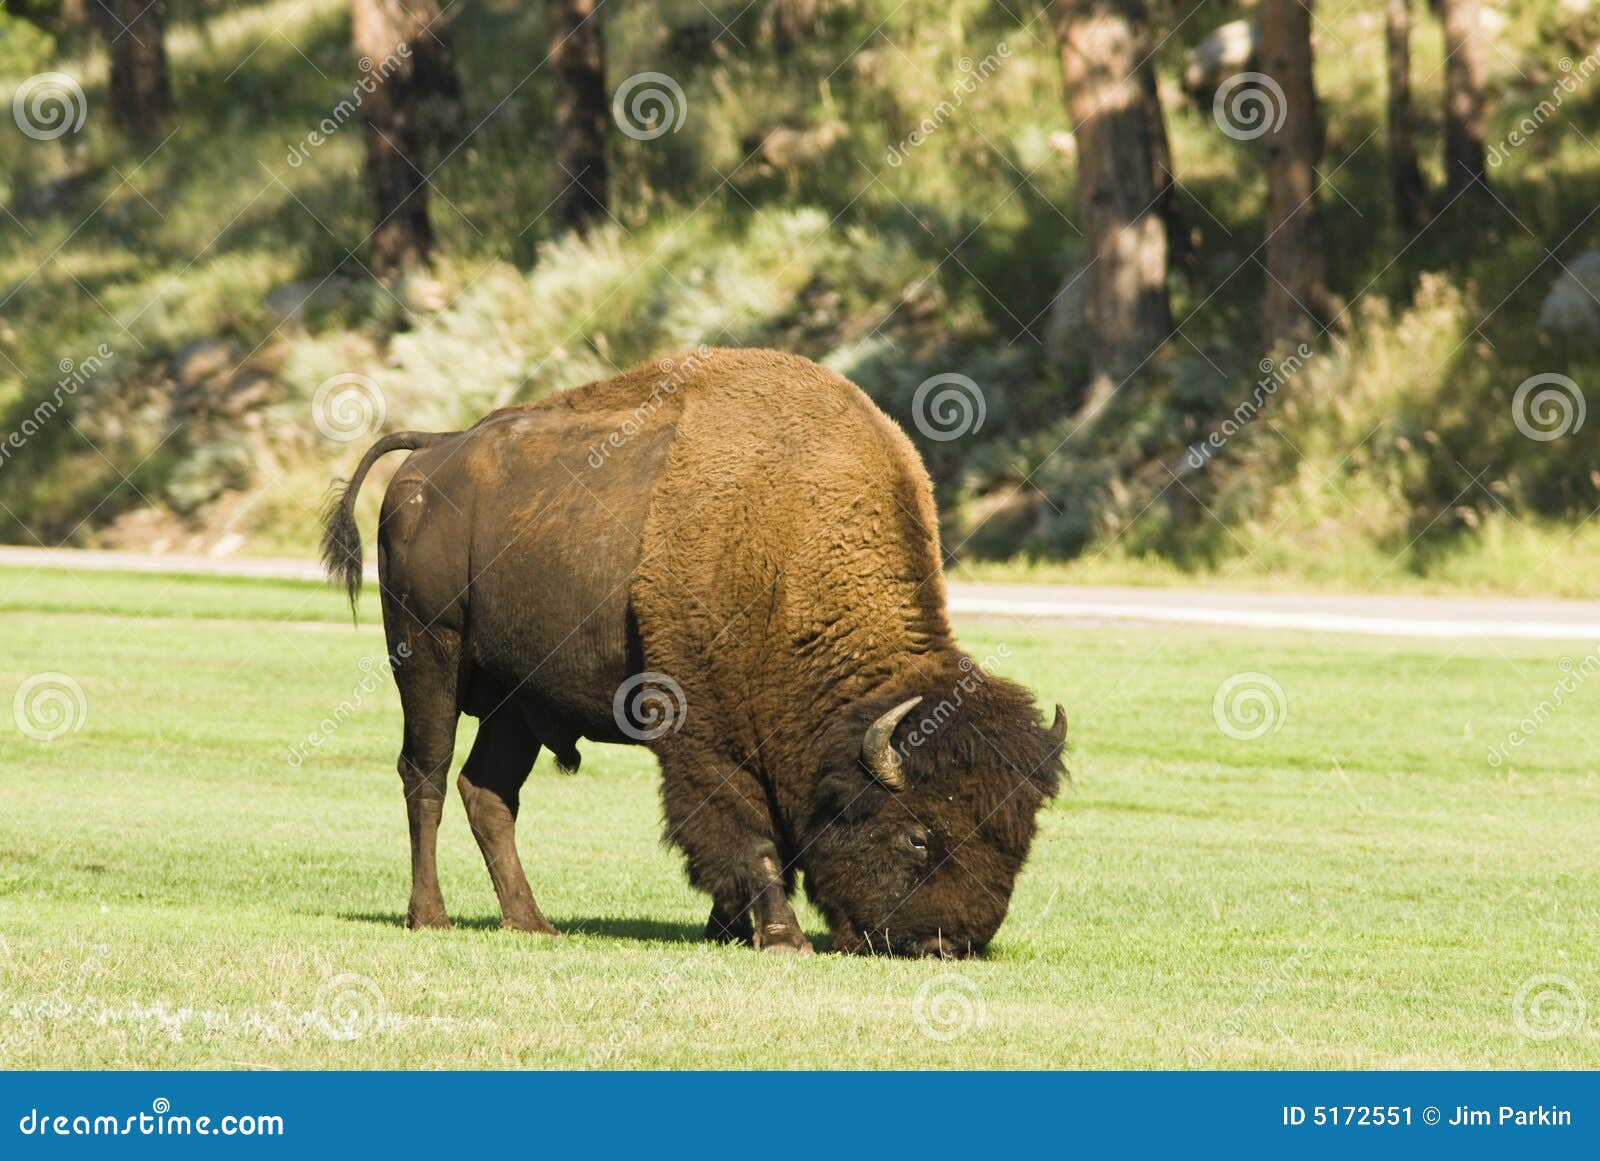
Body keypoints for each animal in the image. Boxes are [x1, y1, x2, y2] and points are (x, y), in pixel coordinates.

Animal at [321, 347, 1065, 956]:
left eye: (1020, 839)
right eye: (917, 835)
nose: (949, 943)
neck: (784, 550)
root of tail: (434, 451)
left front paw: (728, 929)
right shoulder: (705, 734)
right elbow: (746, 832)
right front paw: (781, 936)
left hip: (517, 699)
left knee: (488, 792)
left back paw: (531, 922)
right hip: (428, 656)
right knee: (426, 775)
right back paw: (430, 916)